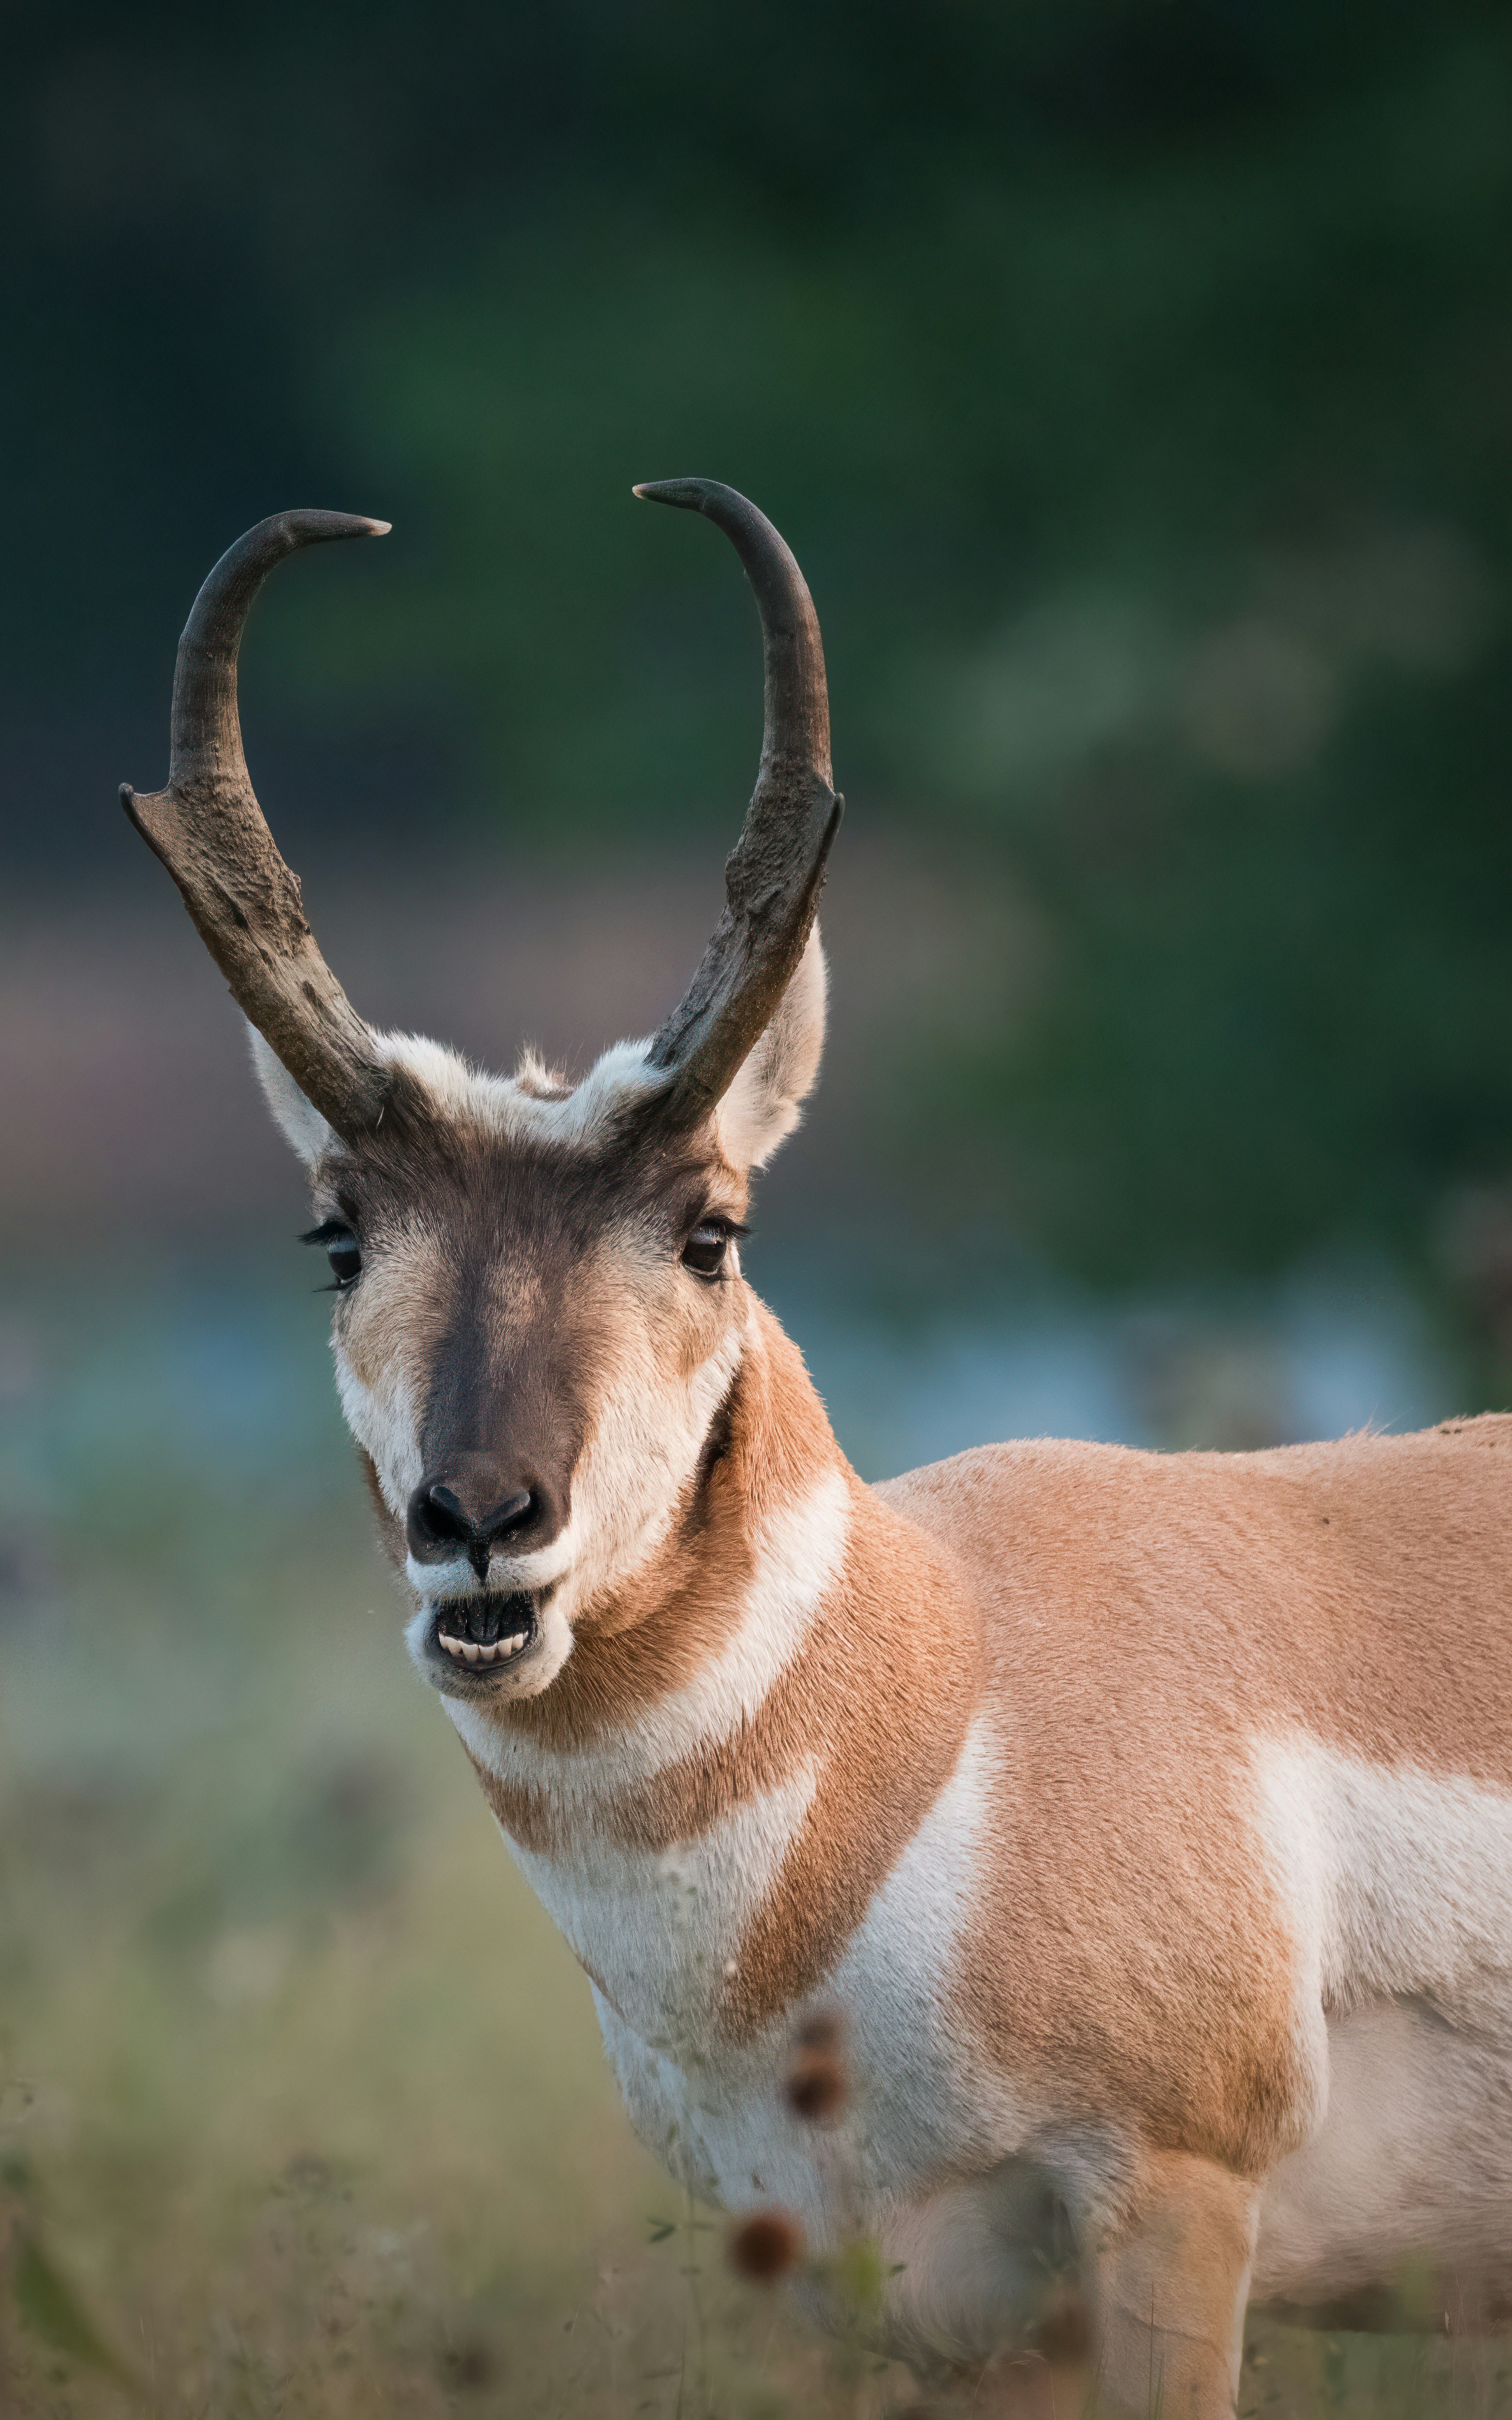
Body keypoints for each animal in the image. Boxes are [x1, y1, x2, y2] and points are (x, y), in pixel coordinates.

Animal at [124, 488, 1512, 2418]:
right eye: (338, 1235)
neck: (942, 1679)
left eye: (712, 1226)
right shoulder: (915, 2320)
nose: (481, 1519)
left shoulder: (1173, 2200)